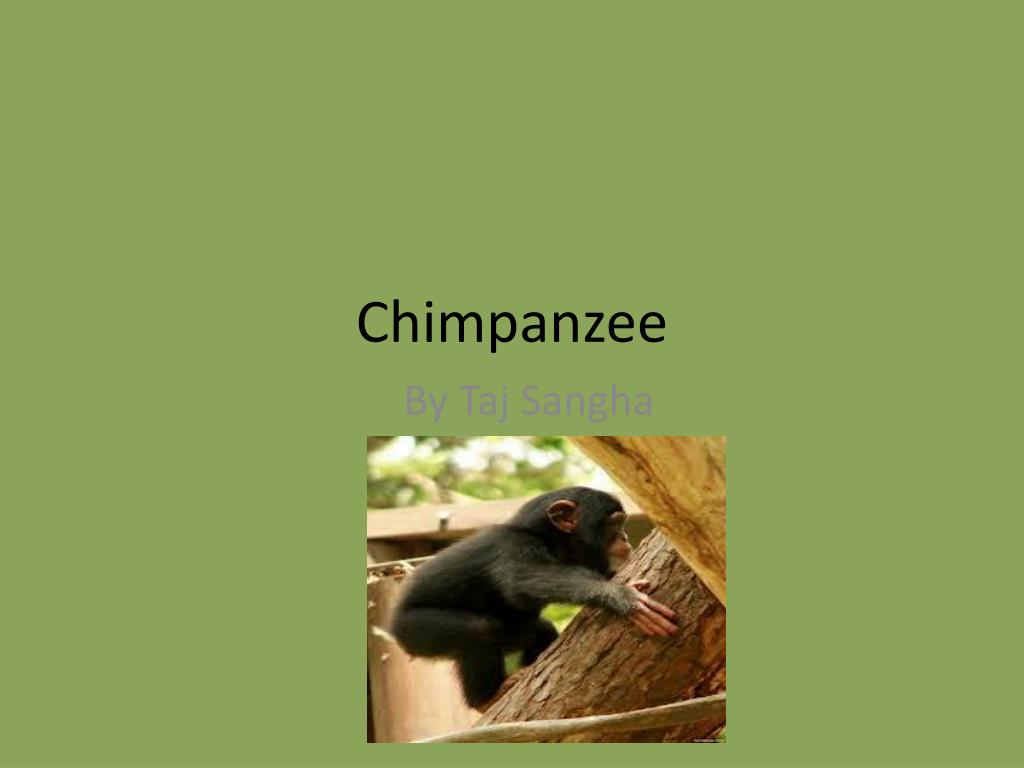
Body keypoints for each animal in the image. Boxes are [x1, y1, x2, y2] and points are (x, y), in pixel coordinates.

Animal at [390, 486, 678, 709]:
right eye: (614, 523)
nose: (625, 537)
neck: (549, 539)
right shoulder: (514, 547)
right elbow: (527, 579)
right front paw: (622, 596)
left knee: (540, 631)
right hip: (416, 630)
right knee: (481, 628)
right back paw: (486, 700)